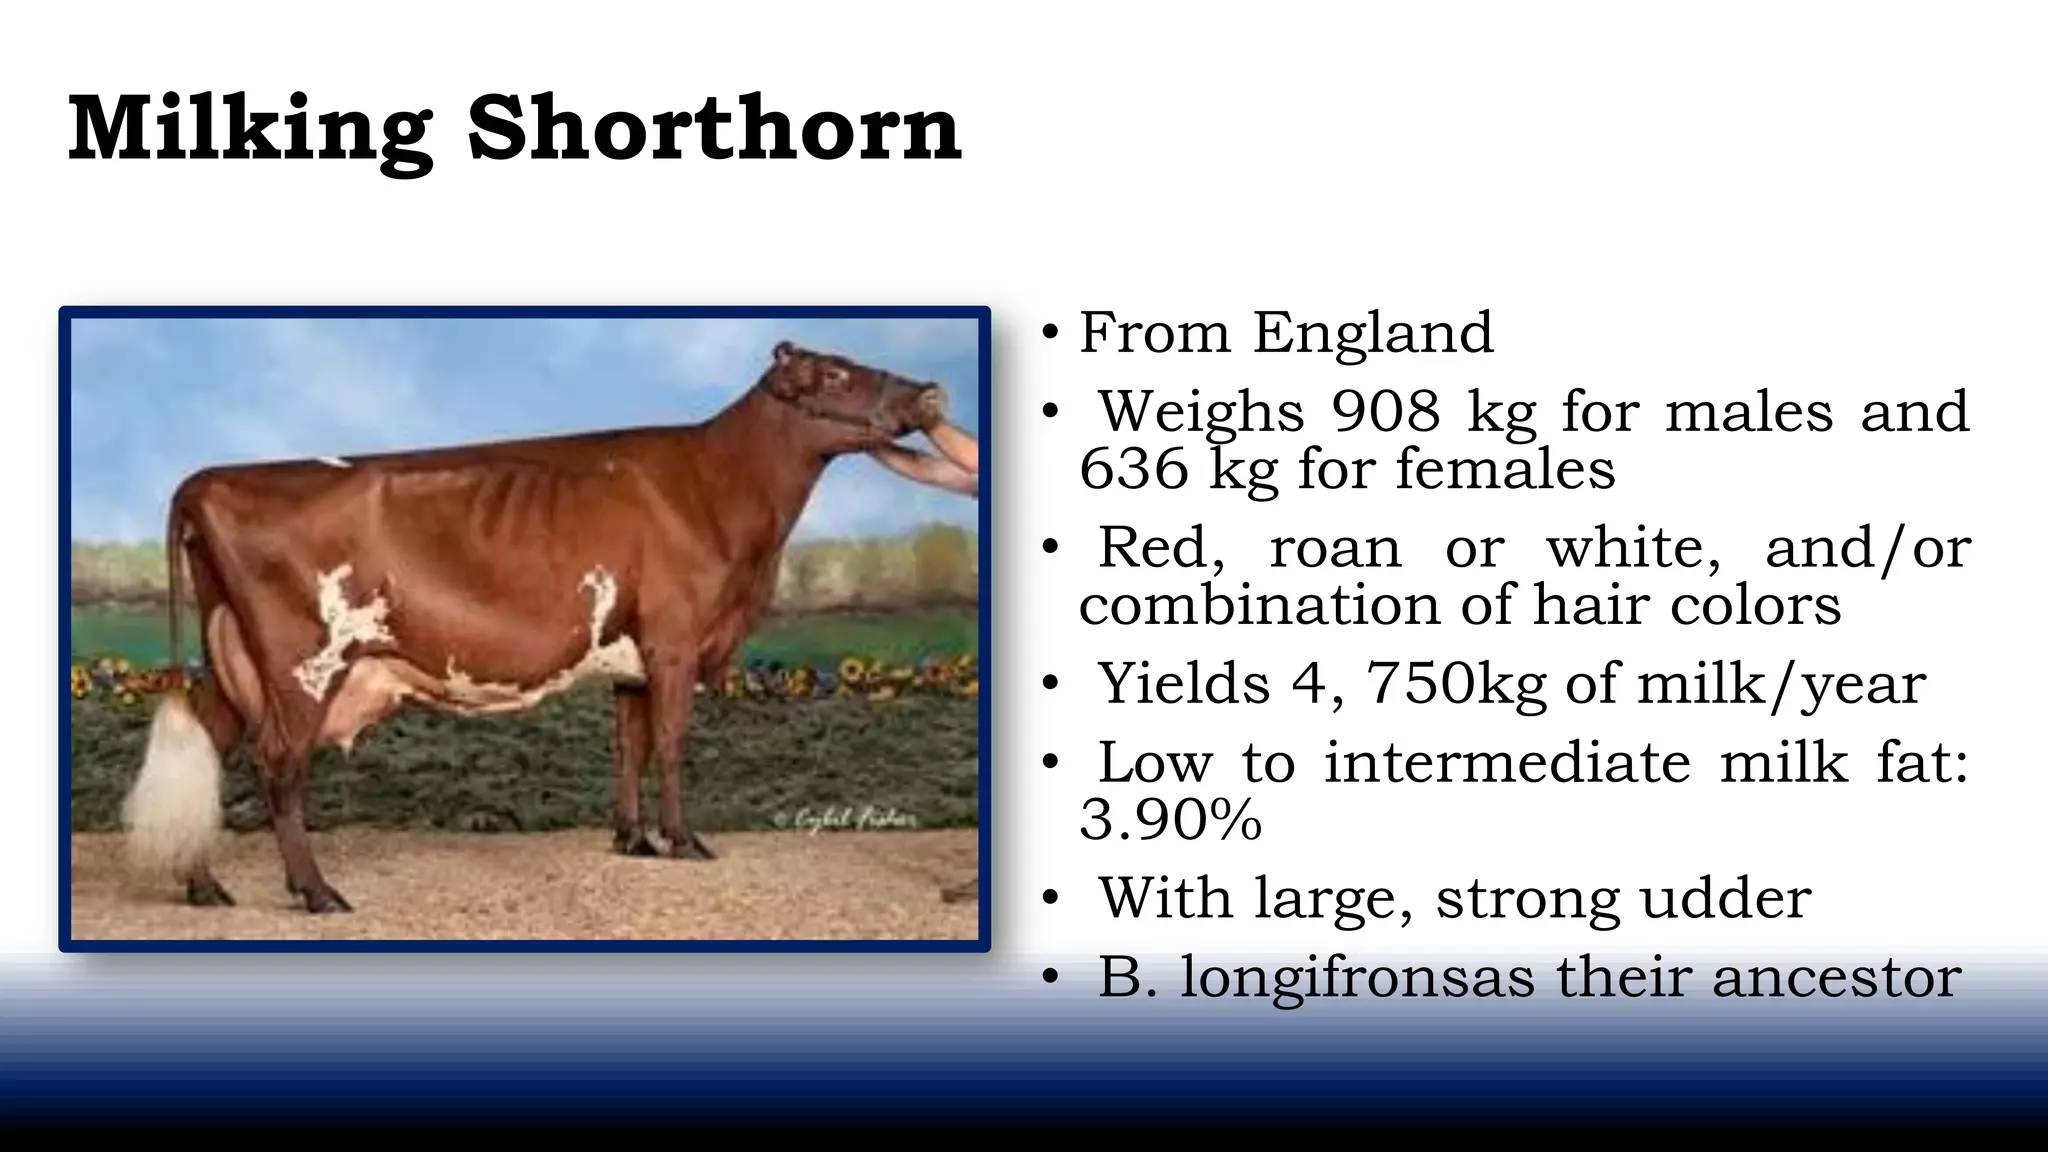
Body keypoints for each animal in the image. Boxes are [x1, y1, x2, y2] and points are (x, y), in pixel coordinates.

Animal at [118, 341, 948, 913]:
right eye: (835, 373)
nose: (930, 390)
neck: (723, 492)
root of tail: (212, 479)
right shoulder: (676, 642)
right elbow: (673, 744)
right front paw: (684, 843)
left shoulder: (632, 660)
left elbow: (630, 747)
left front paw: (633, 841)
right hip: (305, 661)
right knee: (279, 764)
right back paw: (317, 893)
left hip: (234, 660)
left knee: (214, 746)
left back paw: (202, 885)